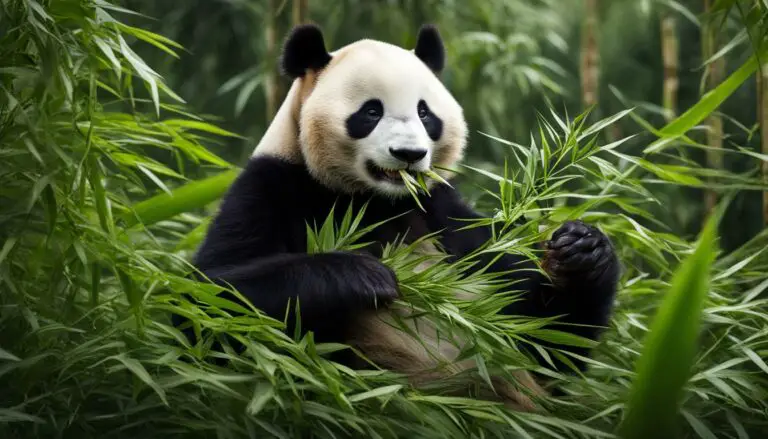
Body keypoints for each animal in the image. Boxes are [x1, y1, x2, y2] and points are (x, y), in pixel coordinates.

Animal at [186, 24, 620, 411]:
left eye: (425, 113)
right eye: (370, 112)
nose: (409, 154)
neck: (376, 200)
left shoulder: (446, 214)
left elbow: (545, 344)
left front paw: (582, 249)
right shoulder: (272, 186)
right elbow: (209, 299)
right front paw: (368, 276)